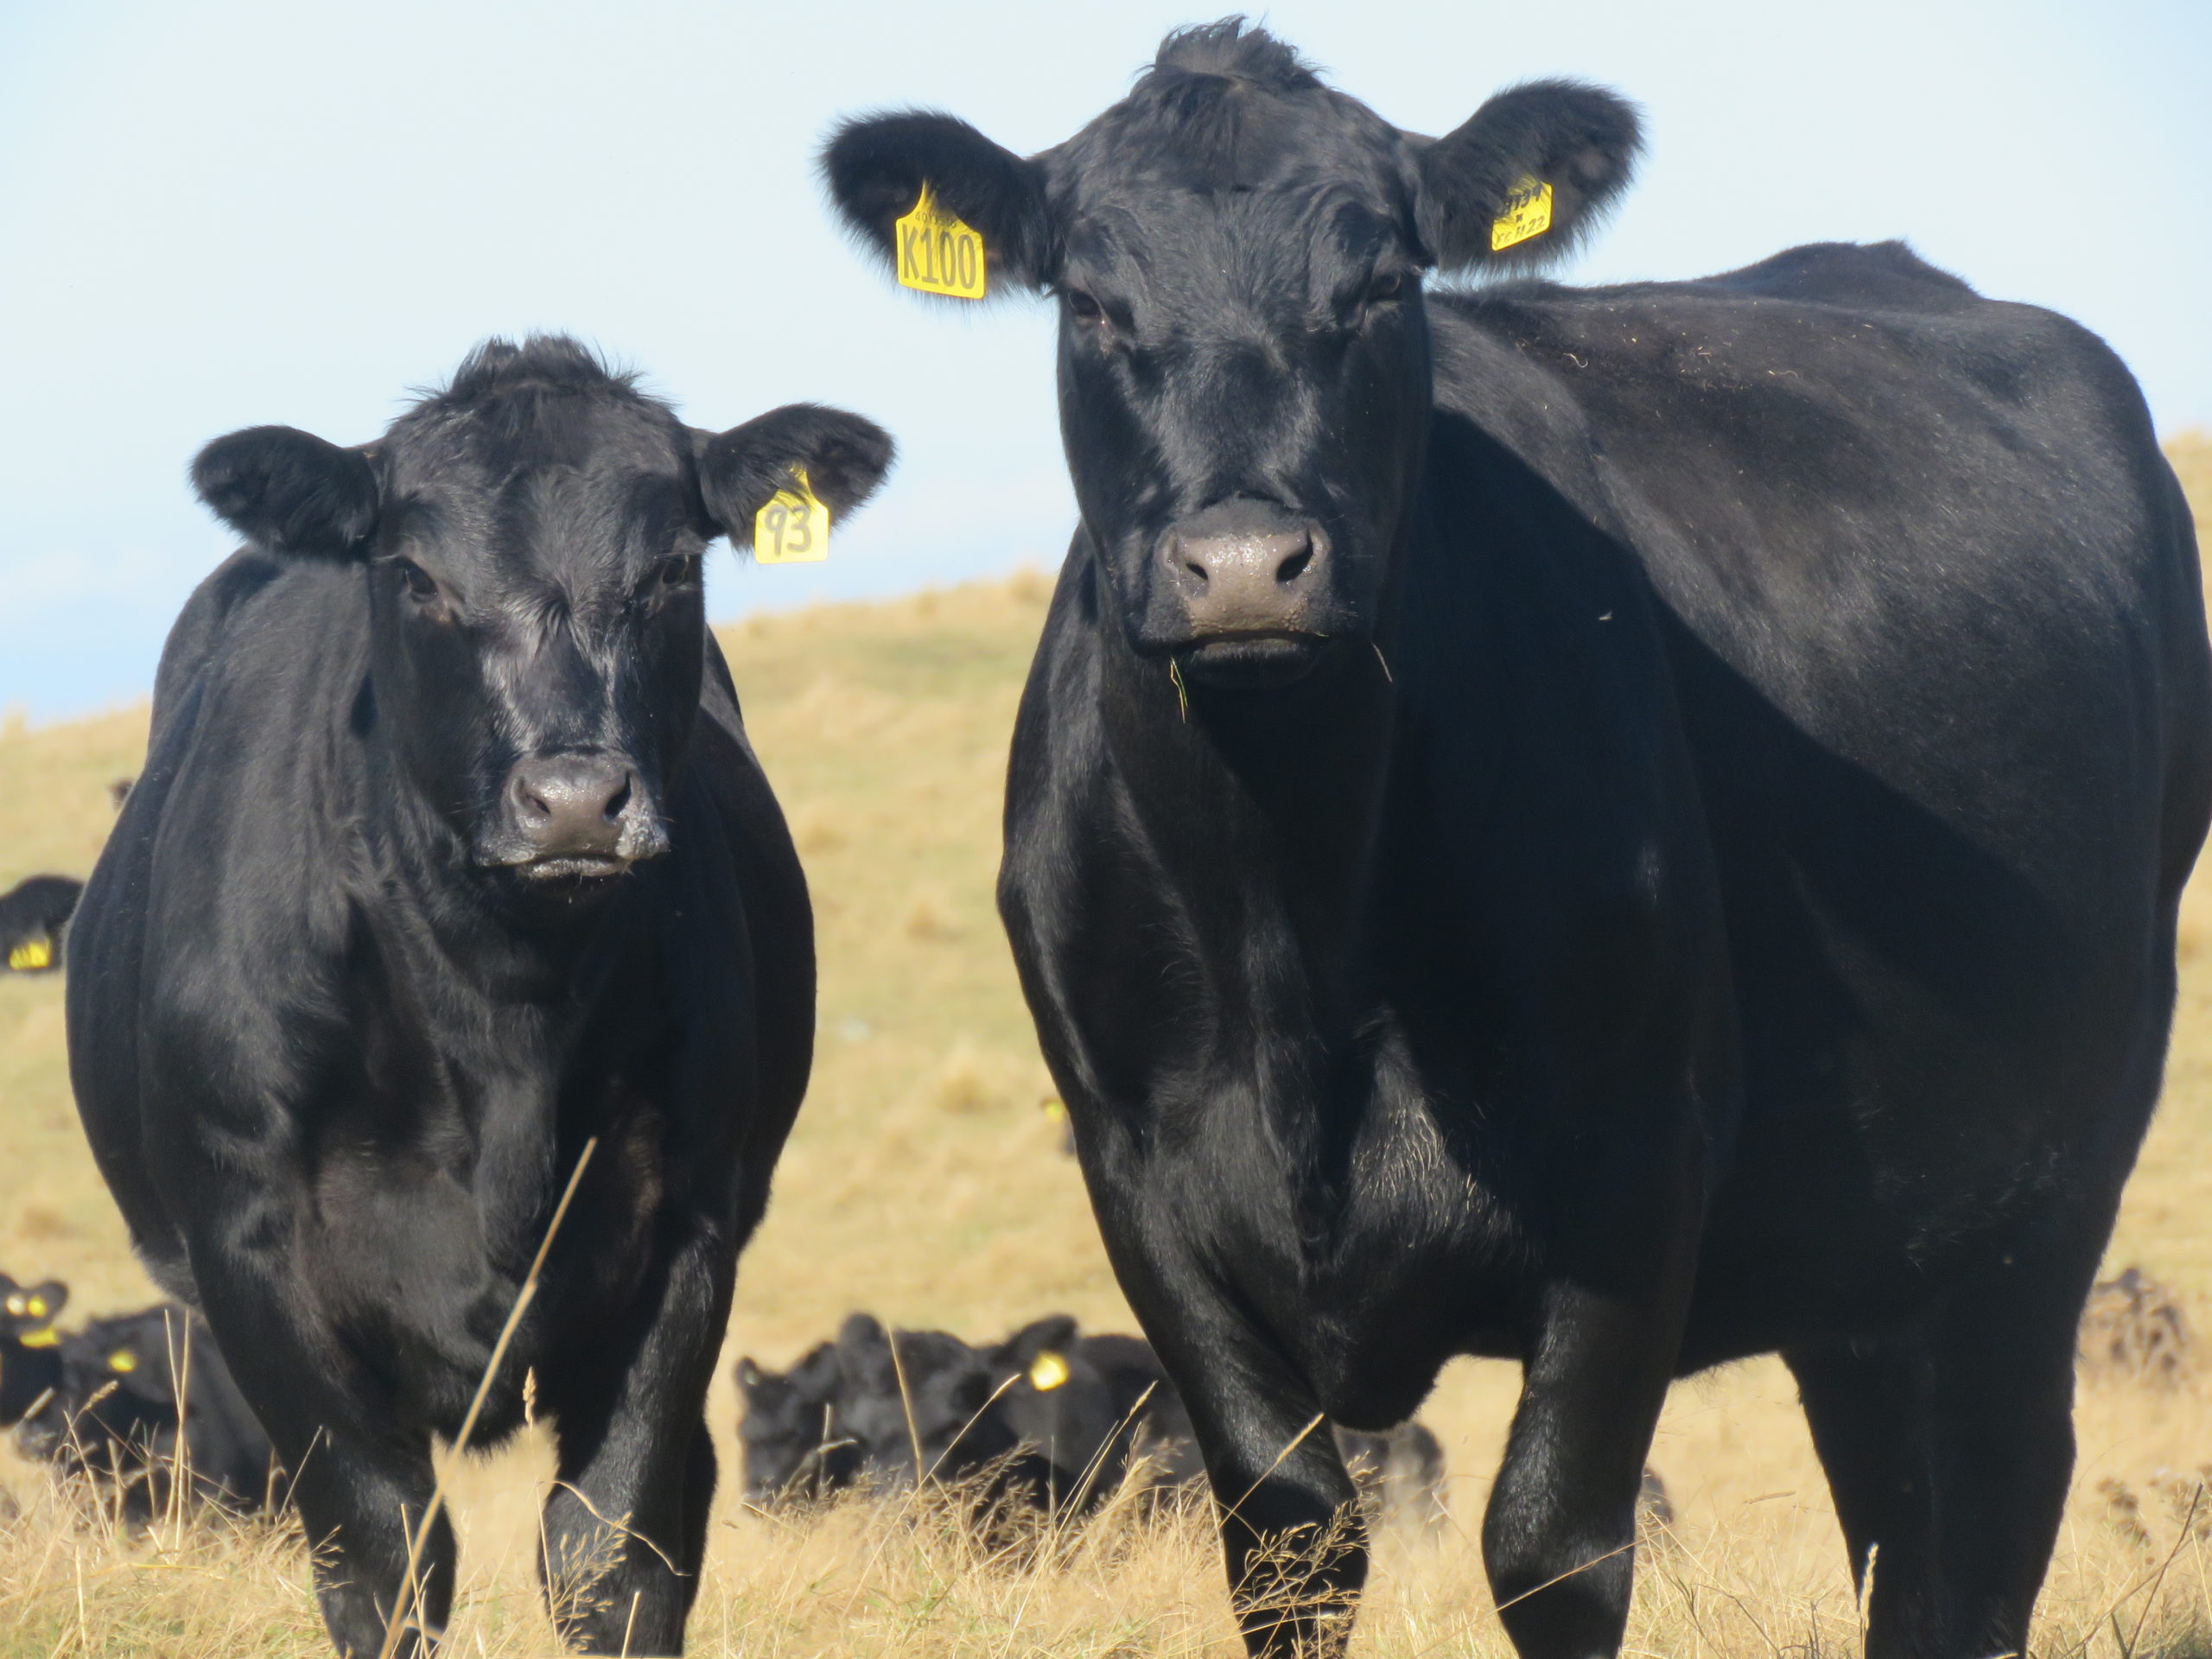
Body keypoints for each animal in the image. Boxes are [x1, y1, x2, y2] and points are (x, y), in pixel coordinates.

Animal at [64, 335, 892, 1657]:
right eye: (413, 575)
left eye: (672, 566)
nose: (573, 800)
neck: (501, 1014)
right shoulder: (252, 1249)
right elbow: (386, 1555)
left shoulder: (685, 1229)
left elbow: (611, 1551)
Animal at [822, 21, 2211, 1659]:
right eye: (1092, 302)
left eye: (1379, 285)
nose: (1246, 567)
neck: (1296, 923)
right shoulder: (1142, 1186)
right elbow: (1292, 1542)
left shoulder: (1635, 1166)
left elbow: (1553, 1547)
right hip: (1870, 1250)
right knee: (1899, 1517)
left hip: (2054, 1186)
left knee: (1993, 1509)